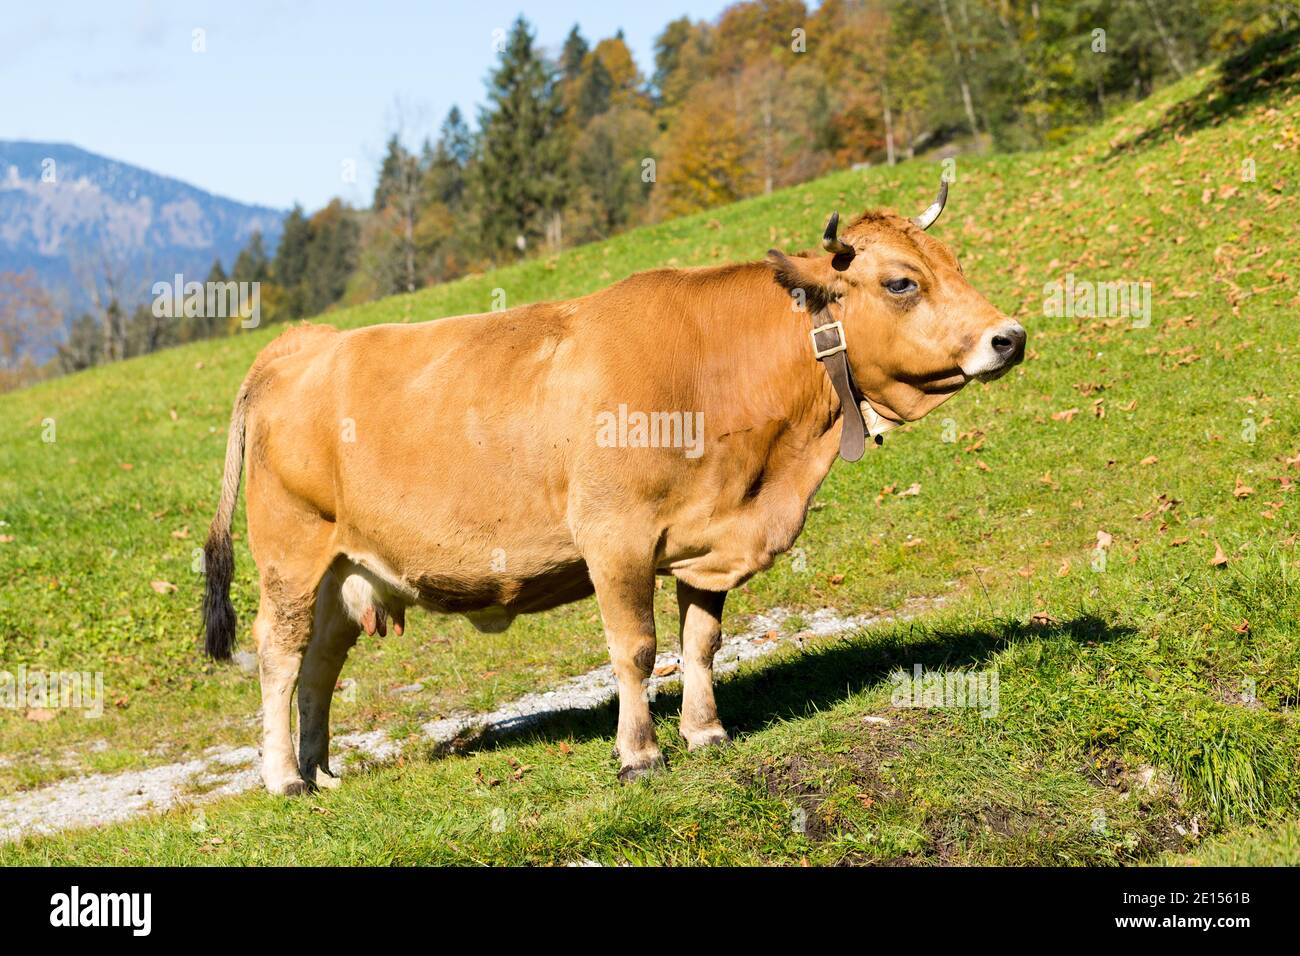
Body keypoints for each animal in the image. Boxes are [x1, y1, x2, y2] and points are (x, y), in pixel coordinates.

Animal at [202, 180, 1026, 795]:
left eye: (953, 263)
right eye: (900, 282)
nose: (1009, 336)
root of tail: (301, 343)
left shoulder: (708, 538)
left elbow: (701, 642)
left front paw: (706, 731)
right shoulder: (615, 536)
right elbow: (636, 648)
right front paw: (639, 753)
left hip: (346, 566)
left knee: (321, 660)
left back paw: (323, 770)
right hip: (290, 553)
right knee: (280, 655)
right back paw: (284, 777)